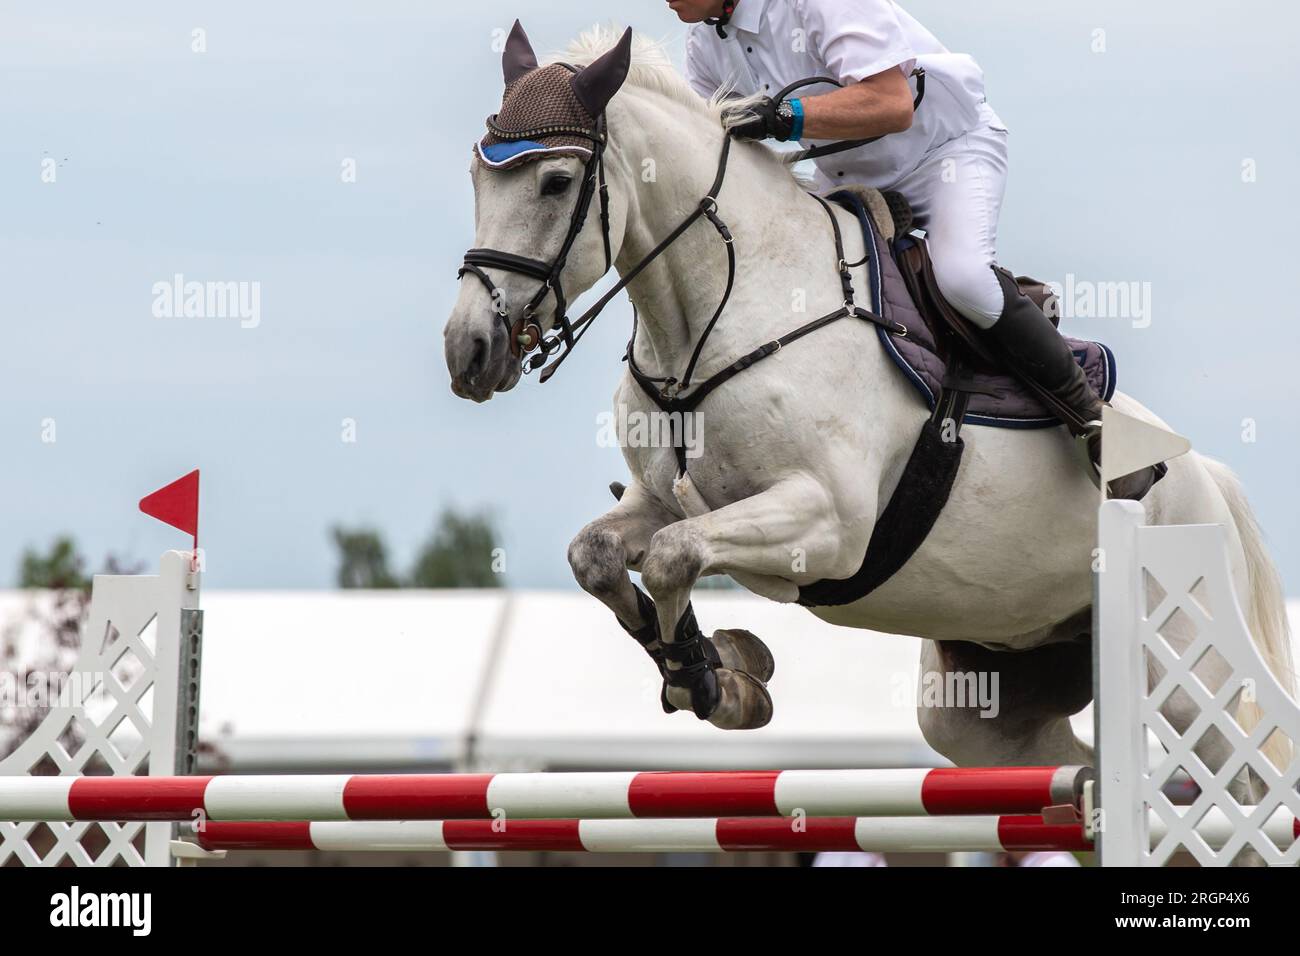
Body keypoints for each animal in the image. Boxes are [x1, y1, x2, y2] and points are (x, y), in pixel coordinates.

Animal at [443, 25, 1293, 776]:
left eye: (556, 182)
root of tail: (1206, 478)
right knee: (1070, 769)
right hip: (984, 702)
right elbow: (599, 556)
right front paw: (718, 672)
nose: (468, 351)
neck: (724, 305)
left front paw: (713, 676)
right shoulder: (660, 501)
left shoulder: (828, 522)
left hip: (1189, 679)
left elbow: (675, 554)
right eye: (476, 179)